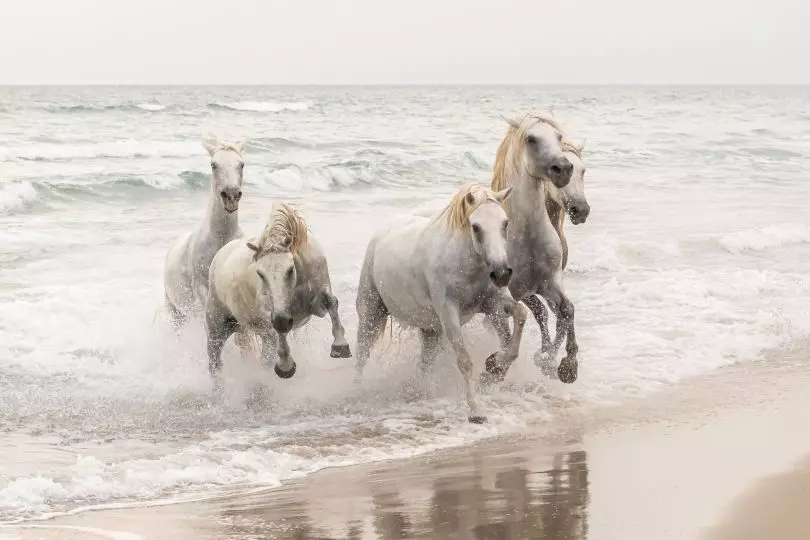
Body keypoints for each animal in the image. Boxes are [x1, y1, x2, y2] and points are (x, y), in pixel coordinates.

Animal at [164, 137, 246, 326]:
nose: (231, 196)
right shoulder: (201, 289)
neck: (221, 239)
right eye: (213, 164)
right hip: (175, 312)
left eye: (241, 164)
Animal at [204, 202, 348, 384]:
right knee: (216, 365)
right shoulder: (271, 315)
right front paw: (286, 366)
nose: (283, 321)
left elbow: (331, 301)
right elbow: (278, 333)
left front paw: (340, 345)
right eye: (260, 273)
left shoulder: (315, 305)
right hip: (217, 329)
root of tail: (220, 254)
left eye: (290, 269)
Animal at [356, 184, 528, 424]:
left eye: (505, 223)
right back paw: (357, 394)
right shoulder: (449, 313)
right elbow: (464, 361)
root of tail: (381, 233)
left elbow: (520, 318)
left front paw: (494, 367)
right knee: (361, 355)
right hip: (370, 311)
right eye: (476, 227)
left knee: (424, 364)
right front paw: (476, 411)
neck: (466, 265)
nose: (501, 273)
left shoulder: (493, 303)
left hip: (431, 330)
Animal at [480, 113, 580, 384]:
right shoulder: (510, 293)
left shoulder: (548, 282)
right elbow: (516, 325)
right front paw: (496, 364)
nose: (563, 169)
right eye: (531, 139)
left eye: (558, 137)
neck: (528, 238)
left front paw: (566, 366)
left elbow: (566, 310)